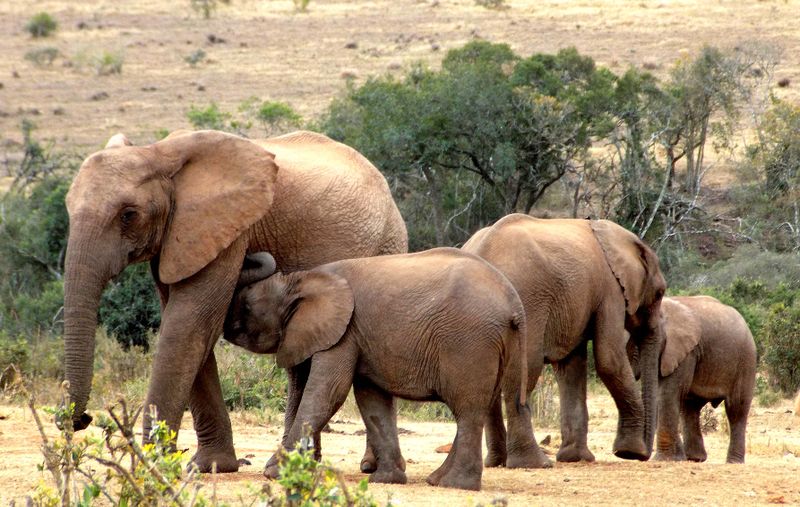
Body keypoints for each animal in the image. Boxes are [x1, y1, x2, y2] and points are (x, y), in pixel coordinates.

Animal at [62, 129, 407, 473]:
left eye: (128, 215)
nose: (83, 419)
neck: (158, 153)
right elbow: (186, 325)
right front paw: (211, 466)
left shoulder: (227, 229)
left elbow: (188, 323)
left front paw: (154, 466)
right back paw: (302, 464)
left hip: (388, 244)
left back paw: (365, 467)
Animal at [223, 248, 533, 491]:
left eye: (247, 305)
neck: (300, 280)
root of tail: (514, 304)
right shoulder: (360, 335)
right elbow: (371, 400)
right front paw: (385, 480)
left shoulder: (344, 331)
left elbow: (328, 392)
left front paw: (272, 473)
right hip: (495, 345)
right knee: (476, 406)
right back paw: (436, 480)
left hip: (469, 342)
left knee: (468, 410)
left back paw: (455, 484)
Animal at [461, 213, 666, 467]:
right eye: (660, 294)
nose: (646, 455)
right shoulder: (610, 290)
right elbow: (609, 360)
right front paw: (630, 452)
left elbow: (571, 367)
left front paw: (576, 458)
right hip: (527, 299)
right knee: (524, 369)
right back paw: (533, 463)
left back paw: (496, 462)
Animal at [653, 295, 756, 463]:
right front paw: (677, 458)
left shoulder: (685, 352)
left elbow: (667, 393)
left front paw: (666, 459)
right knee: (690, 407)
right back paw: (694, 458)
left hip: (746, 358)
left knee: (736, 408)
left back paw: (733, 462)